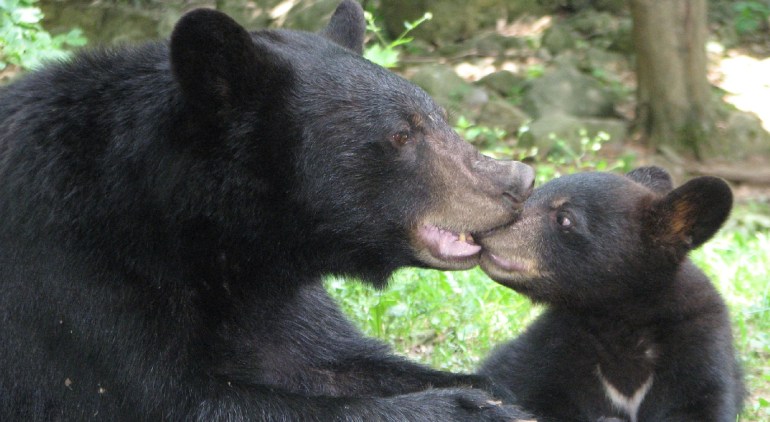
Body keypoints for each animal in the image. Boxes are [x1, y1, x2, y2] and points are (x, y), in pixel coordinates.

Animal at [0, 1, 536, 420]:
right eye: (401, 134)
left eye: (440, 116)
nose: (518, 181)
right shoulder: (74, 286)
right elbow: (163, 397)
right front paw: (467, 409)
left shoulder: (274, 299)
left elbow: (334, 360)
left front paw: (492, 392)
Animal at [476, 166, 744, 422]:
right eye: (535, 193)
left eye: (564, 219)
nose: (483, 228)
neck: (620, 322)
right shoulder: (554, 346)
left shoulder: (701, 346)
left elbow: (701, 404)